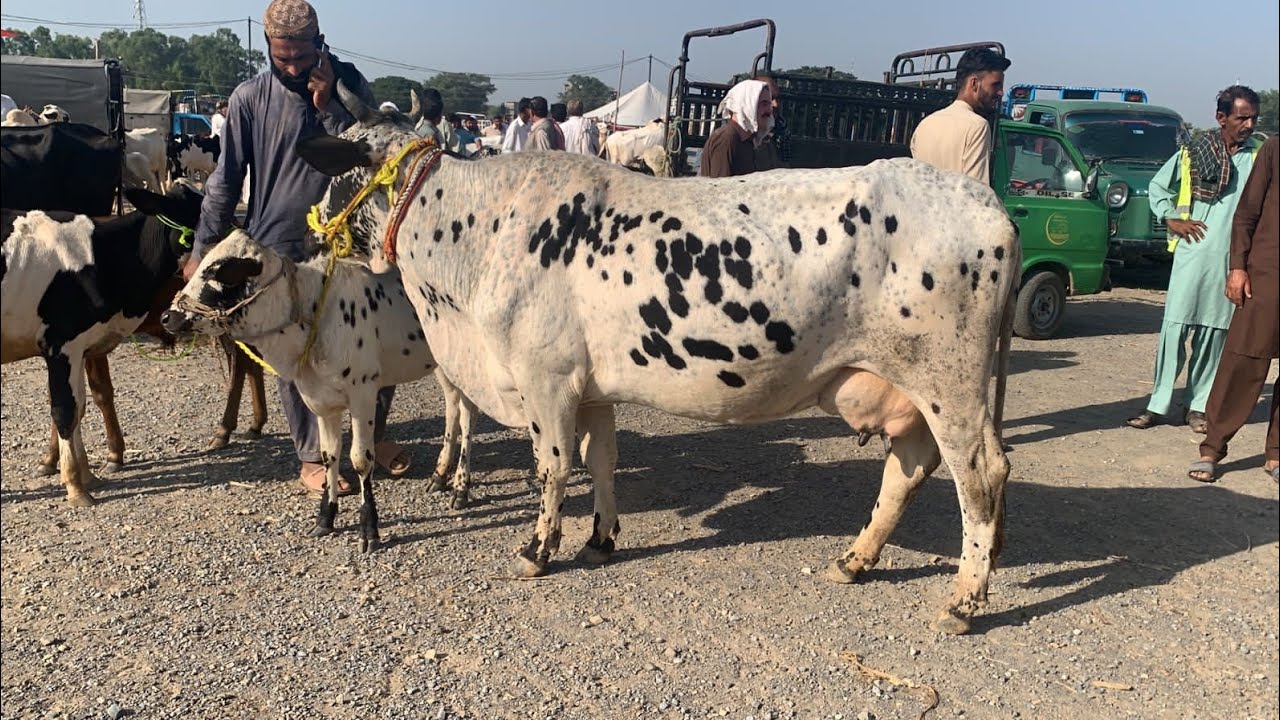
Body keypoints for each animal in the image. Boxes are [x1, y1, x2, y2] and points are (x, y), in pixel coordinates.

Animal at [1, 185, 205, 506]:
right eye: (197, 210)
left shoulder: (79, 347)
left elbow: (80, 407)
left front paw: (87, 476)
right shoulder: (61, 344)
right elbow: (65, 410)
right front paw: (75, 487)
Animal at [161, 230, 480, 549]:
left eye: (220, 272)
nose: (168, 317)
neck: (314, 310)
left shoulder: (363, 393)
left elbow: (360, 458)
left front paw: (369, 529)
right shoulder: (320, 401)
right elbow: (330, 455)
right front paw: (325, 519)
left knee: (467, 415)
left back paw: (460, 488)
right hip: (442, 365)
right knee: (452, 406)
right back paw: (439, 475)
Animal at [294, 86, 1020, 634]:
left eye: (334, 171)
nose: (311, 232)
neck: (477, 232)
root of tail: (987, 204)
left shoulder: (545, 381)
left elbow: (553, 467)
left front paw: (538, 550)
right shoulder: (591, 390)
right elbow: (601, 462)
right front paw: (599, 539)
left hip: (950, 385)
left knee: (981, 476)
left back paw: (964, 600)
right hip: (912, 390)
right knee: (910, 467)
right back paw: (857, 559)